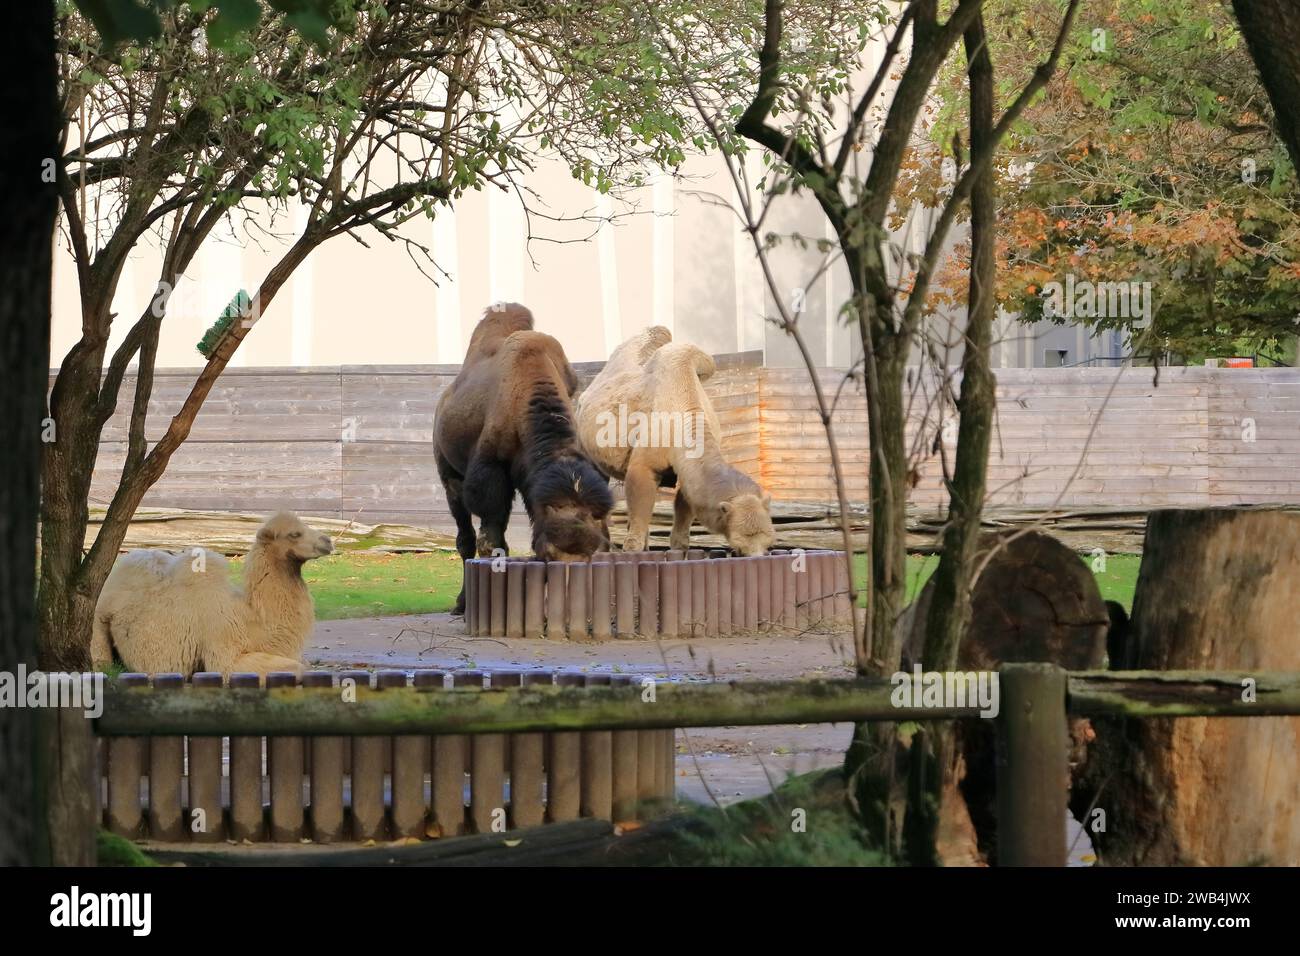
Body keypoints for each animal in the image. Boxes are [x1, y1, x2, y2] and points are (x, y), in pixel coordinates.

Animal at [90, 512, 333, 677]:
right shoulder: (223, 651)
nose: (328, 541)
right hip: (98, 622)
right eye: (294, 533)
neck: (251, 621)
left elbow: (304, 664)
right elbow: (299, 667)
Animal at [576, 326, 774, 555]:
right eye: (741, 540)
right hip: (586, 449)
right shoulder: (644, 464)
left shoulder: (686, 474)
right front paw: (632, 549)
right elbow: (639, 509)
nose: (757, 554)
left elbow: (682, 514)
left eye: (768, 541)